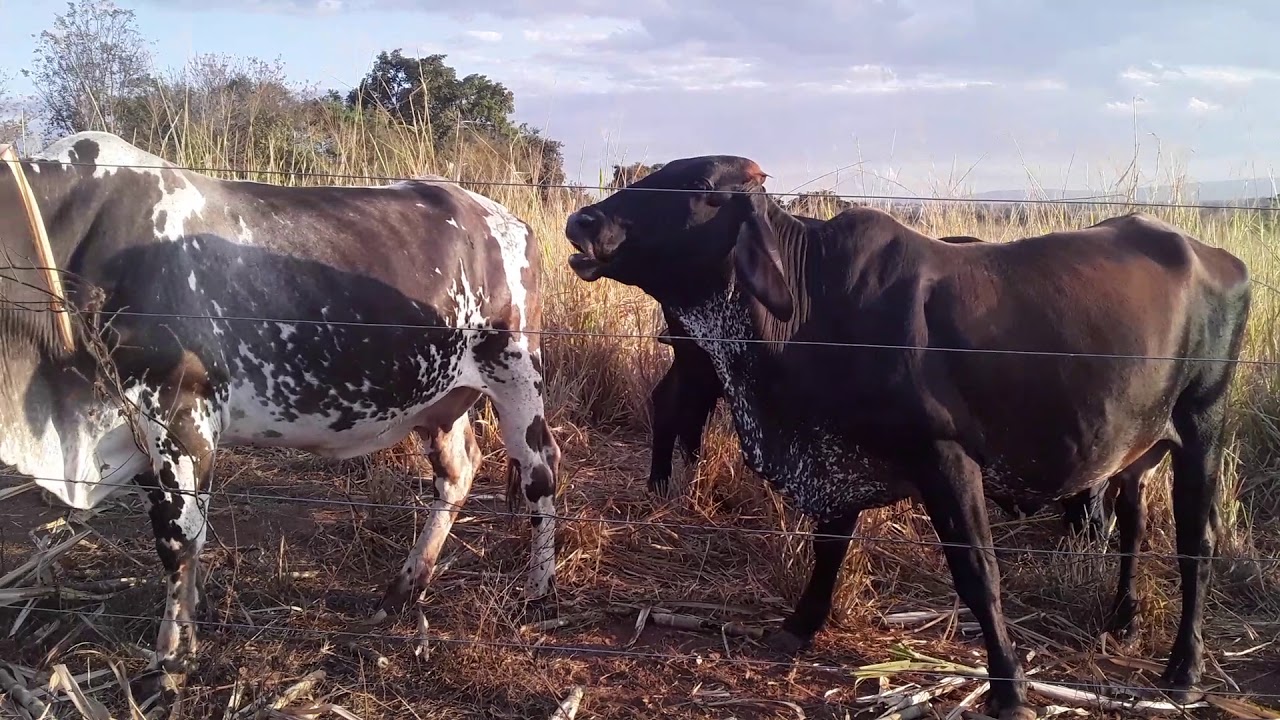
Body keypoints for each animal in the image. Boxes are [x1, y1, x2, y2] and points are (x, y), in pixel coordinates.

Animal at [0, 131, 562, 695]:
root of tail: (498, 213)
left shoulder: (182, 414)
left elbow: (178, 538)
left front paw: (173, 663)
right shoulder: (133, 431)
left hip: (515, 367)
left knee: (541, 471)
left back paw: (538, 591)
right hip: (442, 396)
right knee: (458, 471)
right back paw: (403, 590)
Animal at [563, 155, 1250, 720]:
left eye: (701, 188)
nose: (582, 221)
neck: (812, 303)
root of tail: (1218, 256)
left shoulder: (945, 458)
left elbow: (978, 571)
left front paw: (1009, 687)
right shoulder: (836, 459)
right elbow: (829, 548)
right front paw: (799, 625)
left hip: (1203, 426)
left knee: (1197, 545)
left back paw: (1183, 671)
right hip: (1138, 449)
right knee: (1134, 526)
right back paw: (1123, 621)